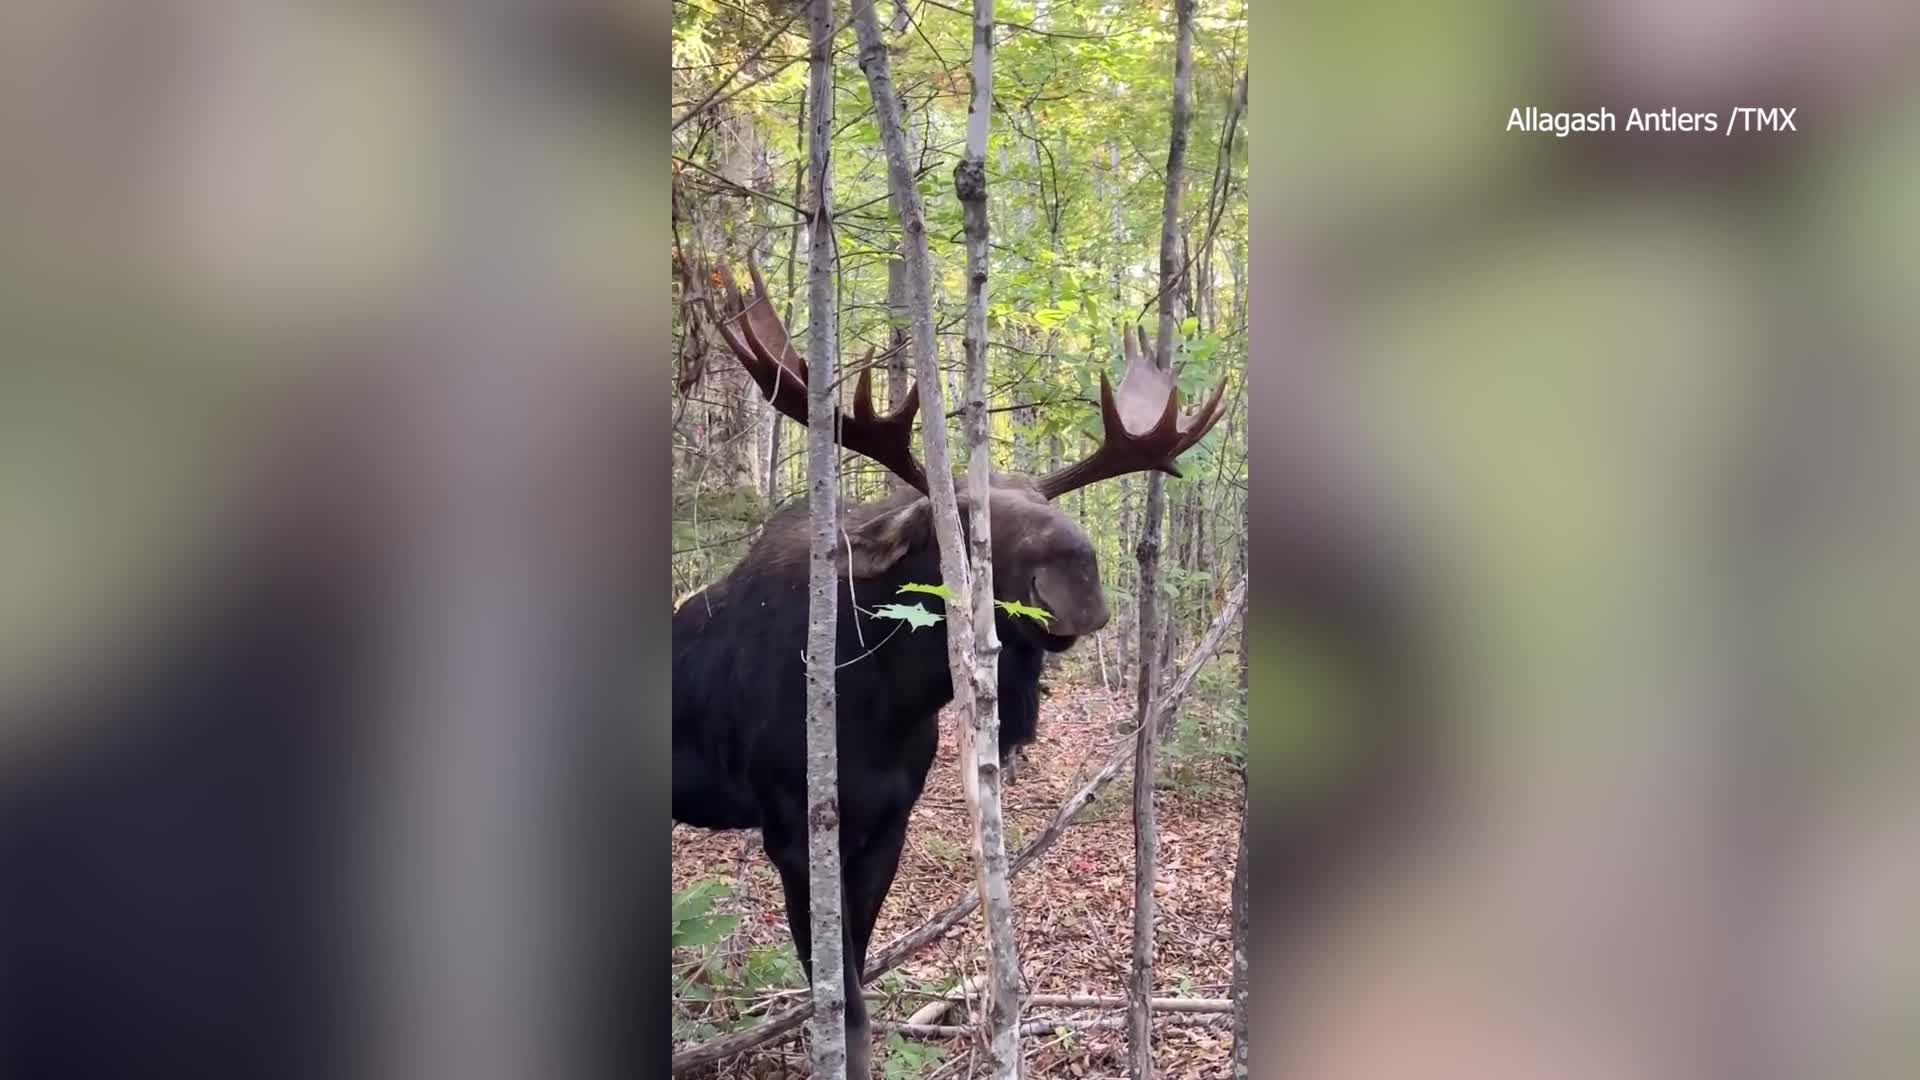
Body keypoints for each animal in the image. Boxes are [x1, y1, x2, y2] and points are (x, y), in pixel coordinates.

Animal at [671, 253, 1227, 1079]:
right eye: (957, 516)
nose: (1080, 577)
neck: (885, 700)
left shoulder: (888, 824)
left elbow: (860, 992)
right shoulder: (793, 830)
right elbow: (839, 998)